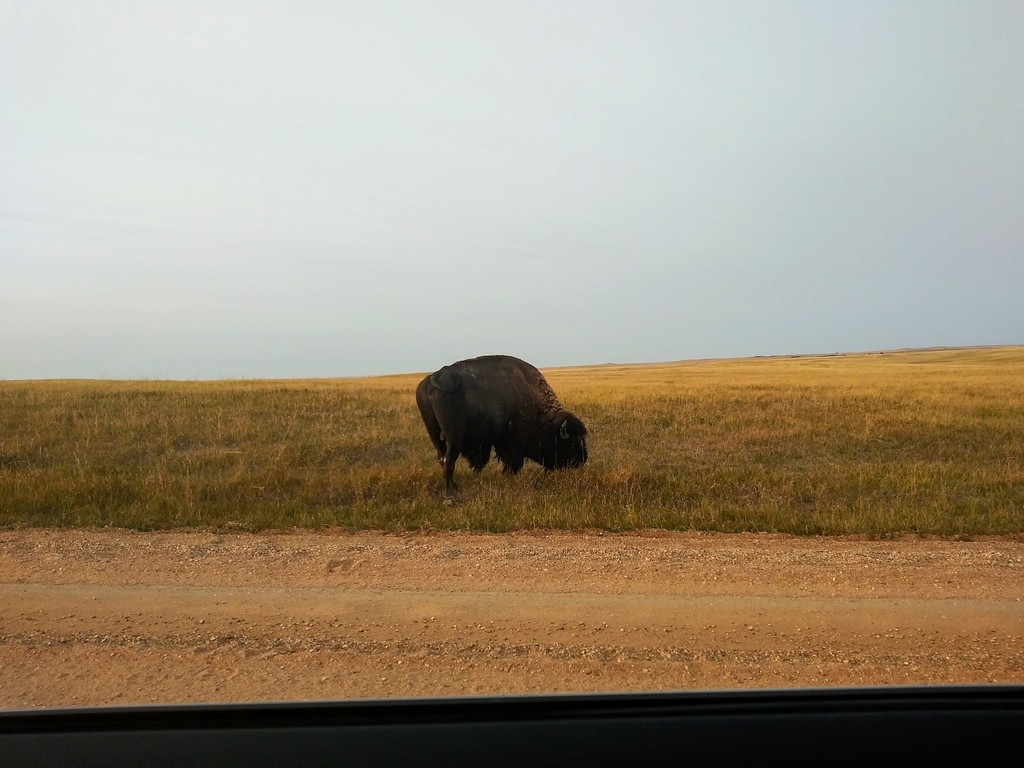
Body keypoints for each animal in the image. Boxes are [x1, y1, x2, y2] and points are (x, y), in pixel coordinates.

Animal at [415, 355, 588, 496]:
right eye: (573, 443)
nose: (582, 459)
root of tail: (434, 379)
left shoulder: (490, 443)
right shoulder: (513, 444)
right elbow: (513, 463)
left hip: (434, 434)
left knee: (442, 459)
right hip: (454, 437)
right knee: (449, 461)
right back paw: (451, 493)